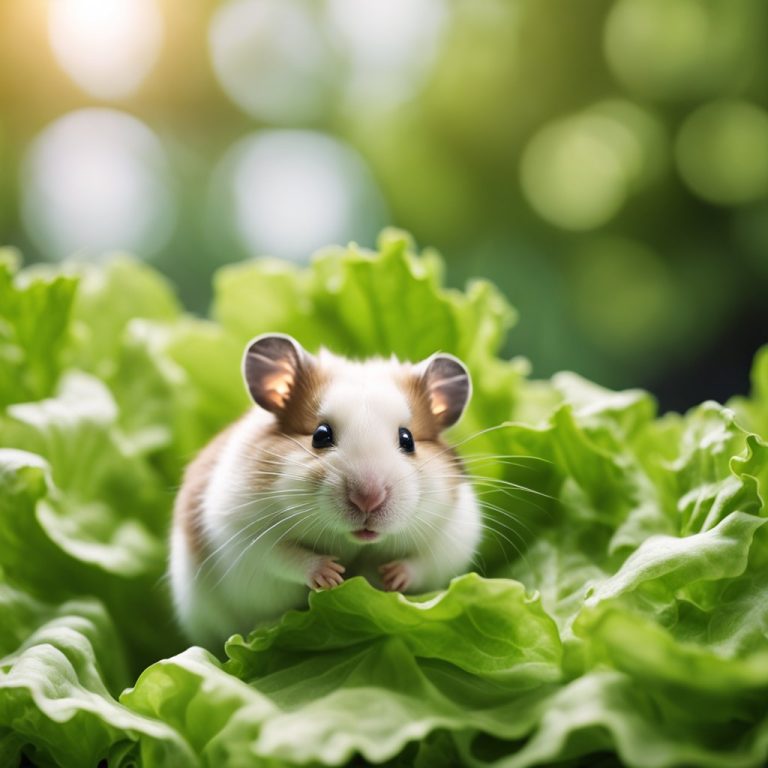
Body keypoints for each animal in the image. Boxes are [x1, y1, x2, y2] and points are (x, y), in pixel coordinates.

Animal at [169, 334, 481, 649]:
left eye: (408, 440)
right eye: (320, 435)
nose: (368, 499)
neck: (353, 541)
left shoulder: (455, 533)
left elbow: (426, 561)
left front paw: (390, 578)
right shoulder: (243, 534)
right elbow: (283, 556)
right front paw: (332, 576)